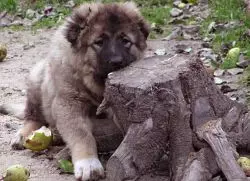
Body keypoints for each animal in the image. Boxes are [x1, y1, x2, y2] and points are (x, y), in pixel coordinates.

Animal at [0, 1, 148, 181]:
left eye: (125, 41)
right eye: (99, 42)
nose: (116, 61)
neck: (95, 86)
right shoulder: (68, 102)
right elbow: (81, 133)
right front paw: (88, 164)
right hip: (37, 79)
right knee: (33, 116)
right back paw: (23, 135)